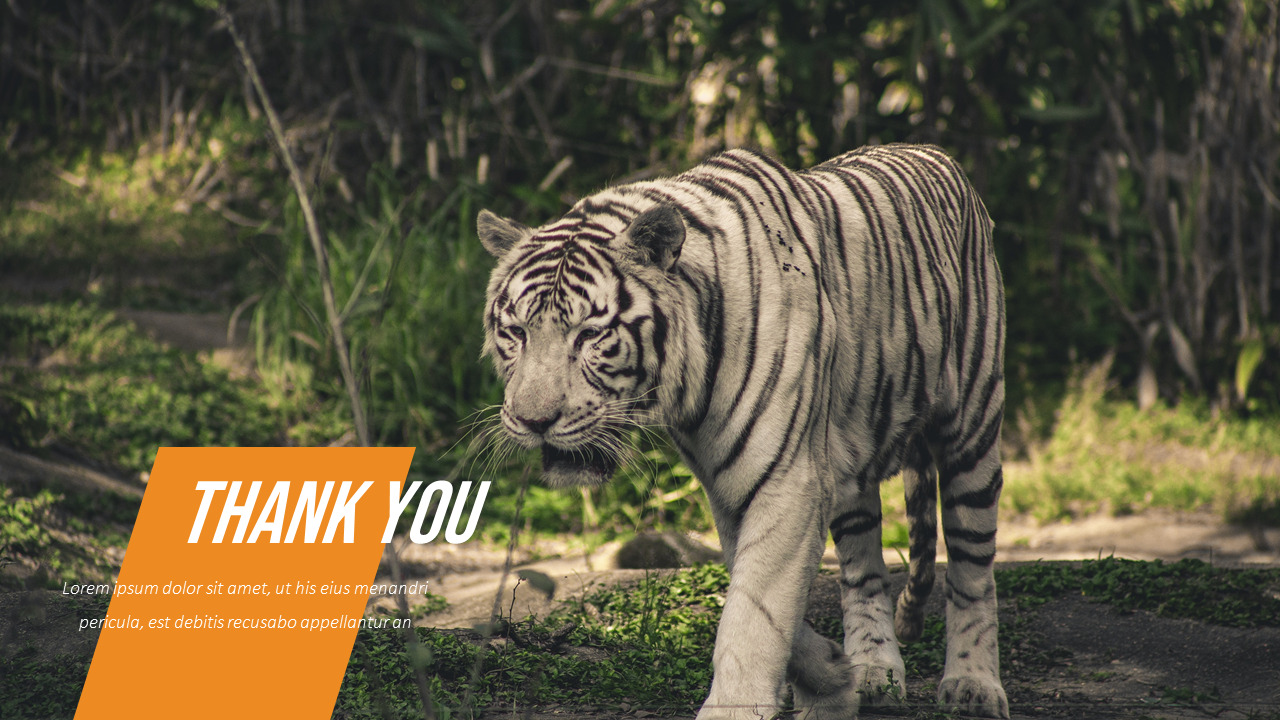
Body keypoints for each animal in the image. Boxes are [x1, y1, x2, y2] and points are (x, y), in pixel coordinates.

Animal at [477, 143, 1009, 720]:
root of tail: (936, 153)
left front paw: (738, 704)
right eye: (516, 332)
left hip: (973, 431)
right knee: (863, 571)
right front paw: (833, 677)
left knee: (972, 570)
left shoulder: (787, 479)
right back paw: (874, 673)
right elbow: (761, 596)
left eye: (591, 334)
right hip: (853, 467)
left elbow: (754, 615)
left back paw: (973, 685)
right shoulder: (734, 486)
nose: (534, 421)